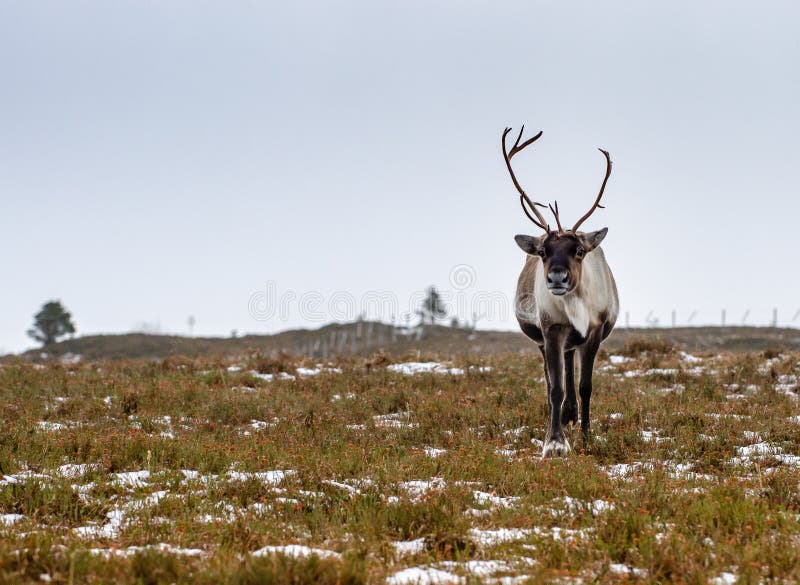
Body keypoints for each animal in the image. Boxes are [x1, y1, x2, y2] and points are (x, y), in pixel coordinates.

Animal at [503, 126, 619, 458]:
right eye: (543, 251)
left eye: (578, 250)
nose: (556, 277)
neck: (576, 308)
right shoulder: (551, 329)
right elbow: (555, 387)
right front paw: (554, 442)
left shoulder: (594, 331)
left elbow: (585, 385)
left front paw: (587, 435)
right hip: (544, 340)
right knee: (551, 378)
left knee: (570, 370)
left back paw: (572, 415)